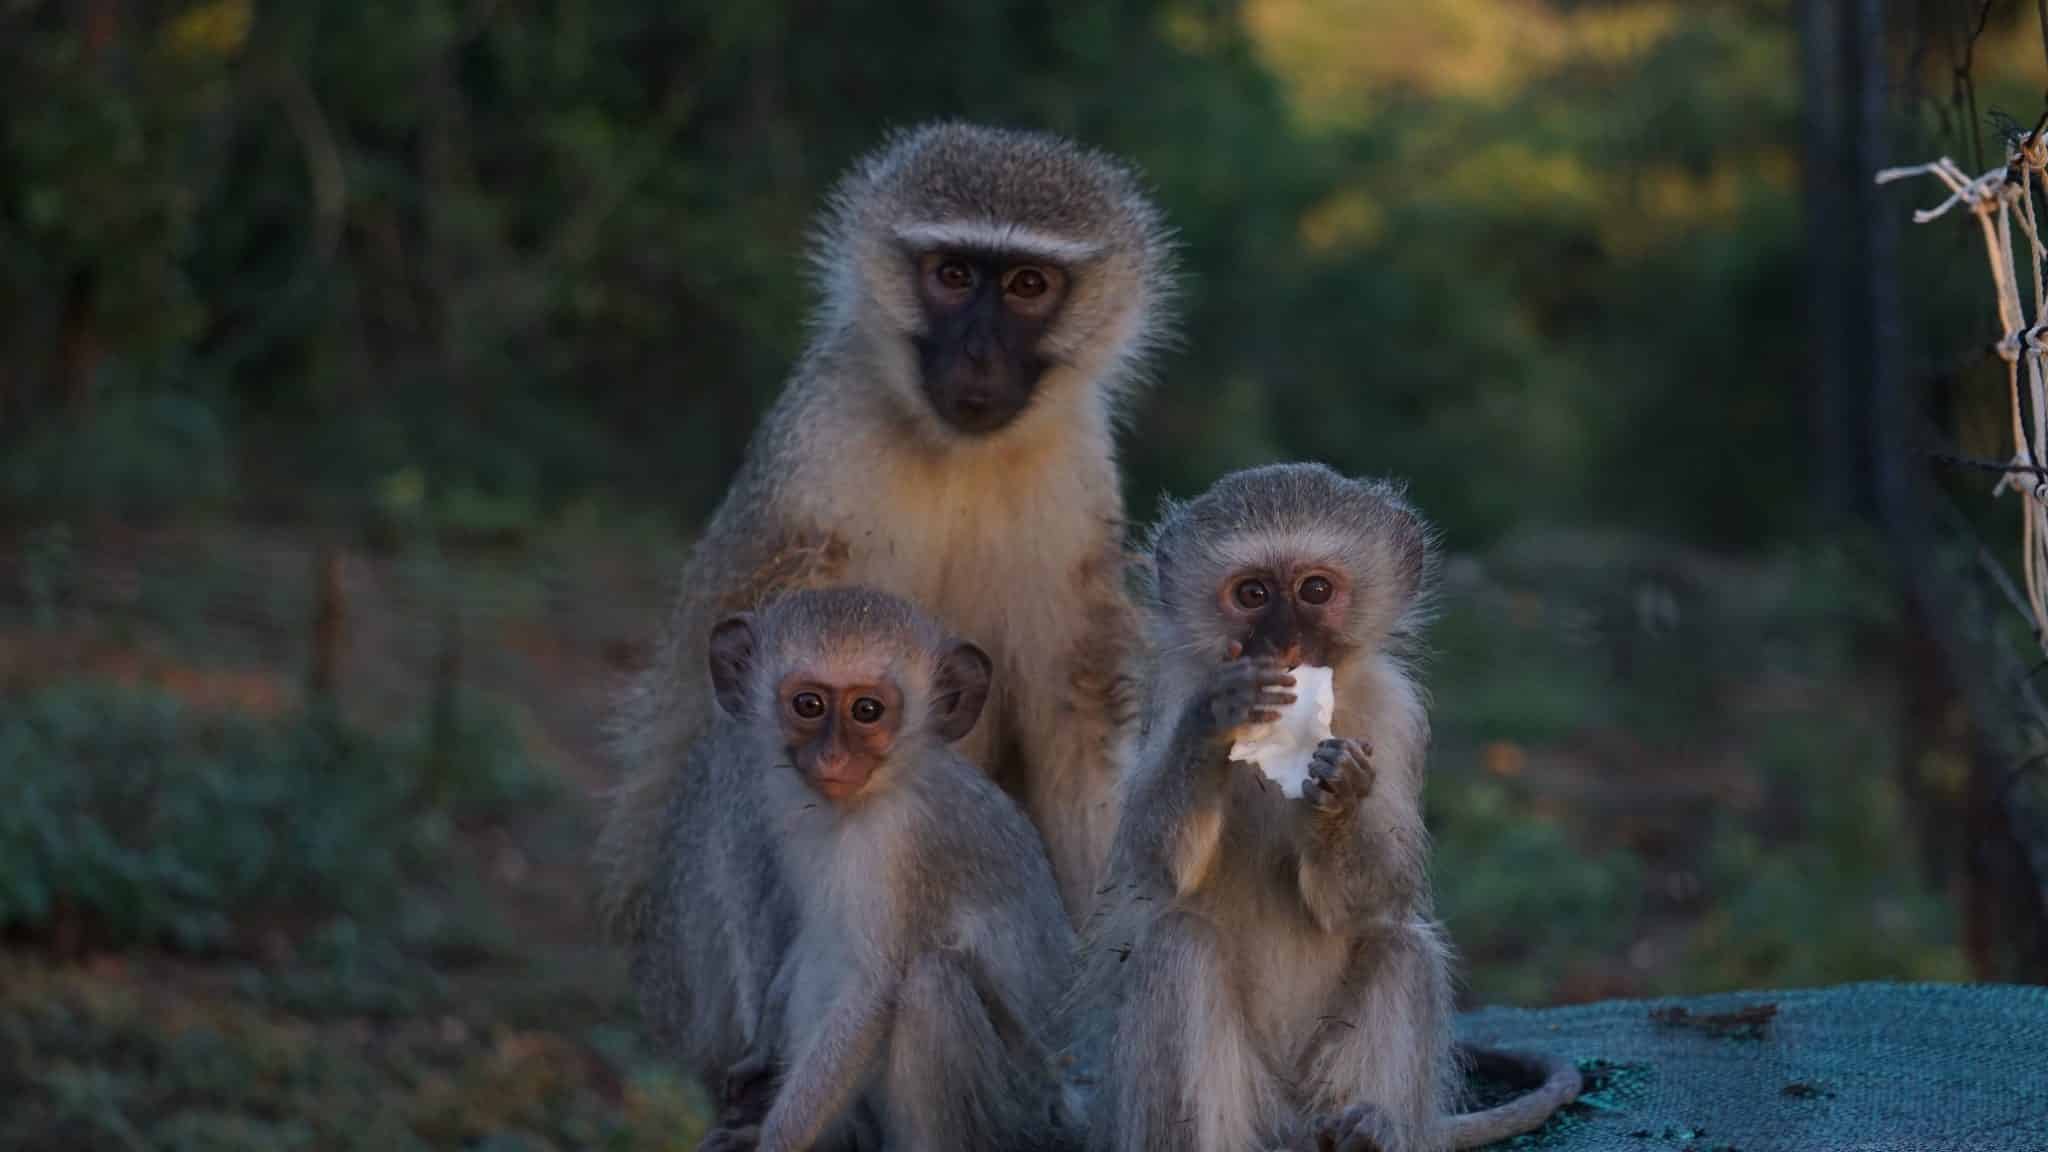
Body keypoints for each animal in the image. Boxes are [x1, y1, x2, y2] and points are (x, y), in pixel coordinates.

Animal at [690, 587, 1080, 1152]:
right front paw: (758, 1058)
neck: (877, 794)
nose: (832, 758)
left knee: (929, 988)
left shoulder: (902, 847)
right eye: (809, 705)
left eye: (867, 711)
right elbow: (812, 937)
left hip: (1015, 1121)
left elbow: (872, 993)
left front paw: (774, 1139)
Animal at [1062, 462, 1576, 1152]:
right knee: (1179, 946)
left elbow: (1374, 895)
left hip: (1316, 1094)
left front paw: (1341, 796)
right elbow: (1155, 865)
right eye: (1253, 594)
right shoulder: (1171, 689)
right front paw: (1215, 721)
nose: (1282, 642)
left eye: (1314, 589)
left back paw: (1369, 1130)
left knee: (1399, 947)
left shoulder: (1396, 714)